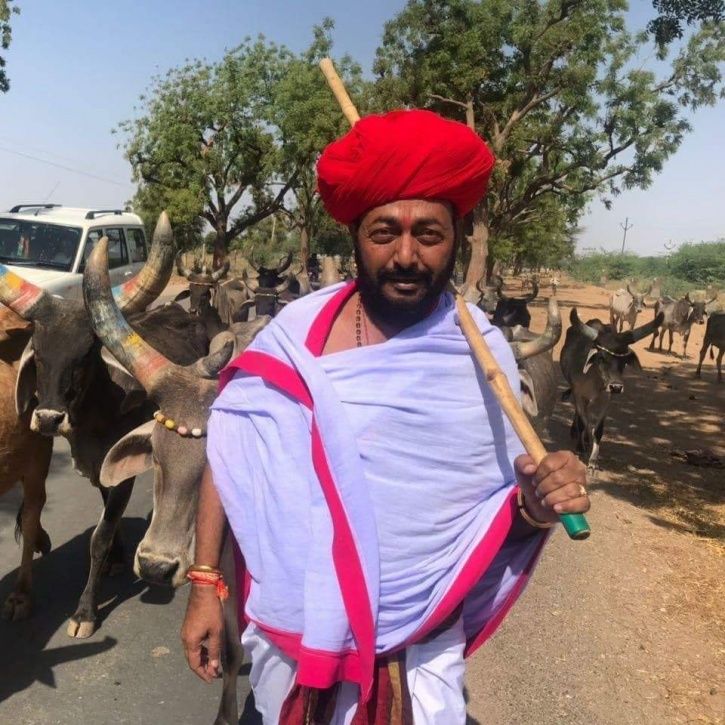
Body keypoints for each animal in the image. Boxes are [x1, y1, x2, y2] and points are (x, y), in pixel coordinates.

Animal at [0, 212, 211, 639]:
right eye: (39, 352)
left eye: (86, 353)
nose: (48, 418)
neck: (96, 414)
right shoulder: (101, 468)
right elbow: (104, 522)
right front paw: (115, 557)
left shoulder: (123, 474)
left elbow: (98, 537)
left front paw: (85, 610)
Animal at [560, 308, 663, 472]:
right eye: (601, 358)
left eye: (624, 360)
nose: (616, 387)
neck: (594, 378)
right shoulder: (579, 394)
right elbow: (583, 422)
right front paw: (581, 447)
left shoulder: (606, 399)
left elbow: (598, 430)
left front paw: (593, 460)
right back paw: (576, 433)